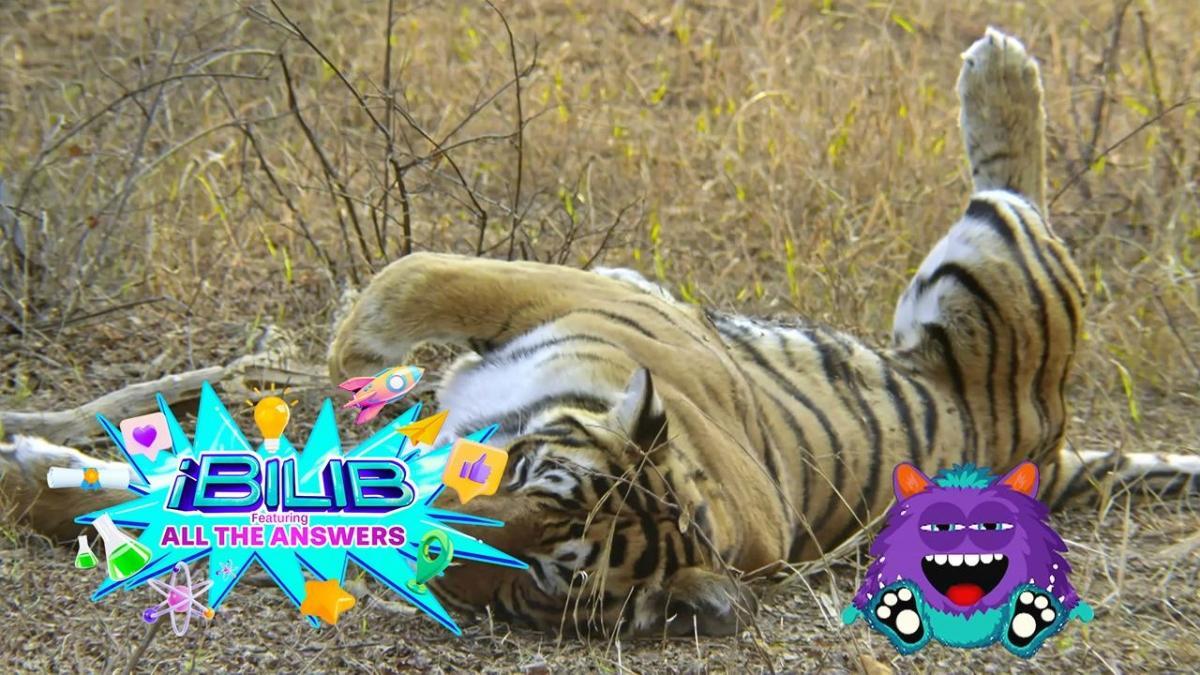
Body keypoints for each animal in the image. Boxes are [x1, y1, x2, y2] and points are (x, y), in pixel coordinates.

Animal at [3, 28, 1198, 638]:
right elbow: (410, 277)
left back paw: (1003, 72)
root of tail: (1046, 445)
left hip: (995, 279)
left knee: (1020, 195)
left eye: (539, 577)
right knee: (1019, 182)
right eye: (535, 480)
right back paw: (1002, 63)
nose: (432, 548)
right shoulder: (563, 298)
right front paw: (354, 355)